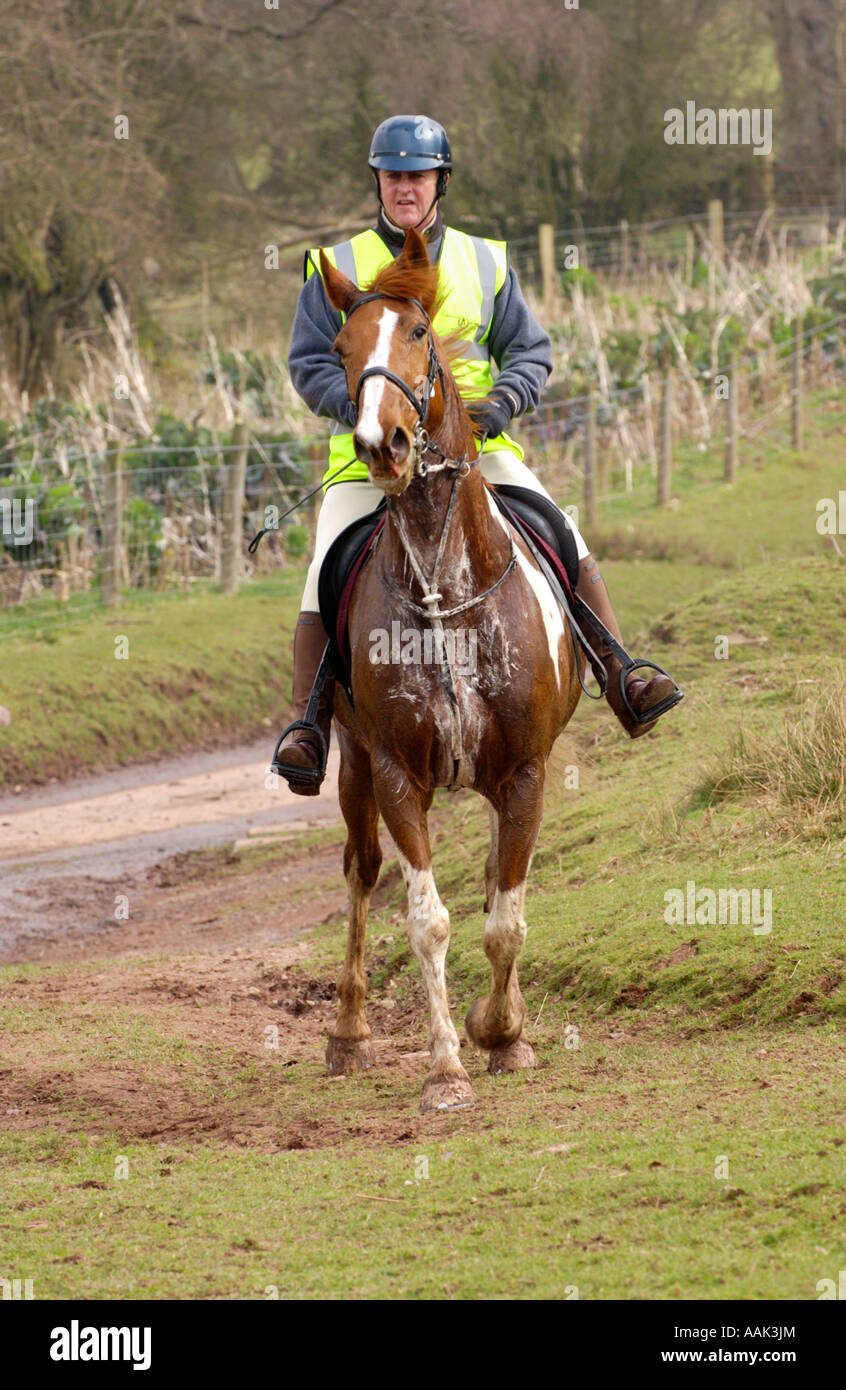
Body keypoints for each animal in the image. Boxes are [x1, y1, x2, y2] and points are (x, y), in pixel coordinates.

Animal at [319, 227, 582, 1112]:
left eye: (420, 334)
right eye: (341, 350)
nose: (382, 447)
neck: (445, 584)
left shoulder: (526, 771)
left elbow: (506, 920)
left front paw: (503, 1033)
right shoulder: (399, 773)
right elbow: (427, 920)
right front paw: (446, 1067)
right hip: (353, 764)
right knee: (362, 874)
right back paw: (349, 1032)